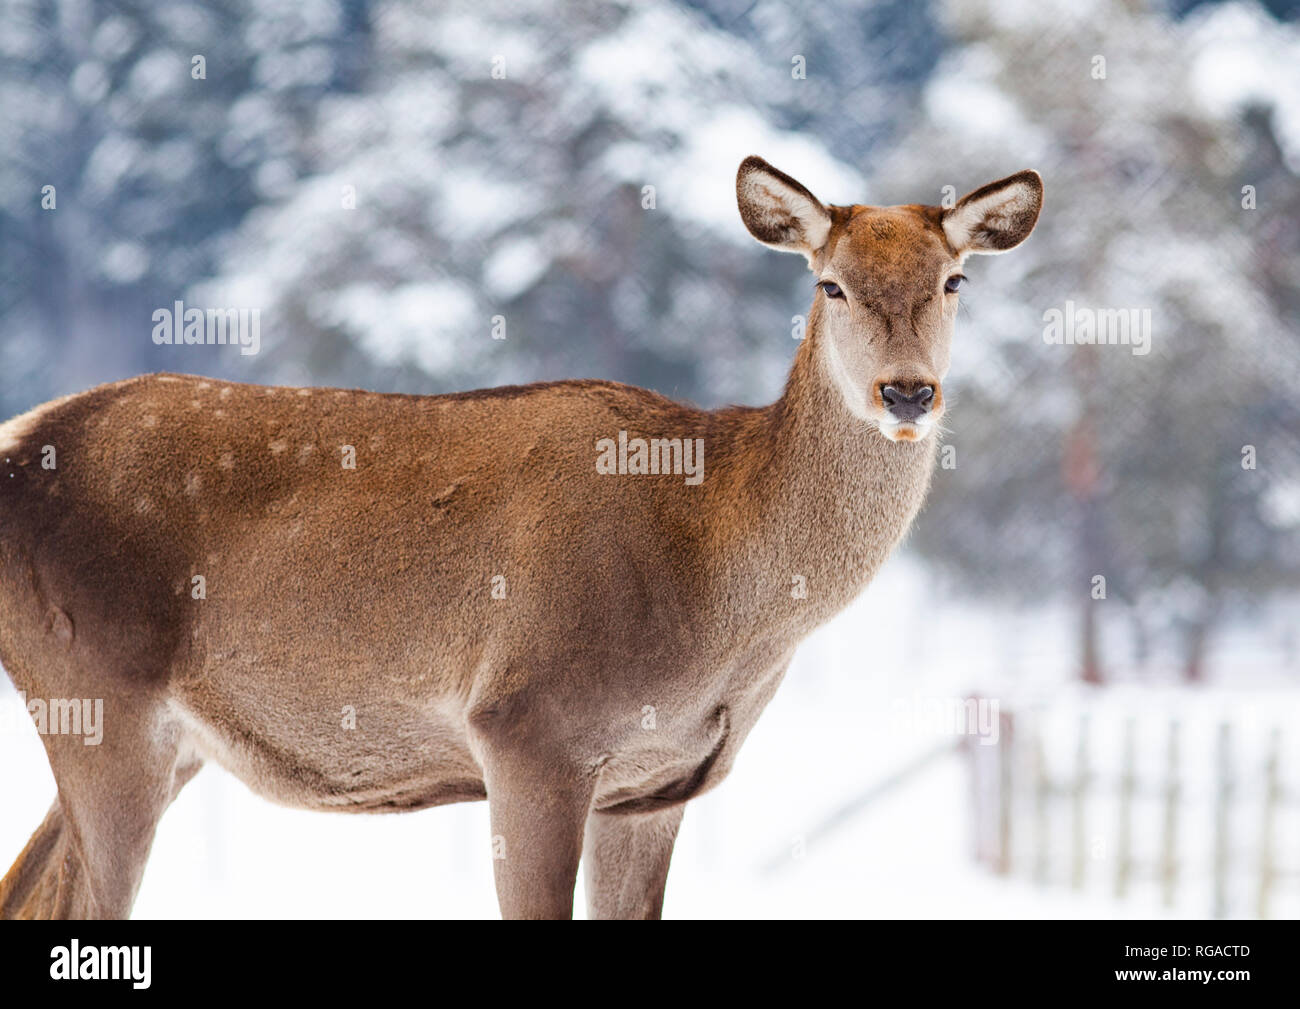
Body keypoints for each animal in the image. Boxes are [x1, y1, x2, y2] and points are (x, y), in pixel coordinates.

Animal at [0, 156, 1042, 920]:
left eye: (954, 279)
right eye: (830, 285)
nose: (906, 392)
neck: (715, 584)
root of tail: (16, 444)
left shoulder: (657, 787)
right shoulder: (529, 724)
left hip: (163, 738)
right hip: (99, 694)